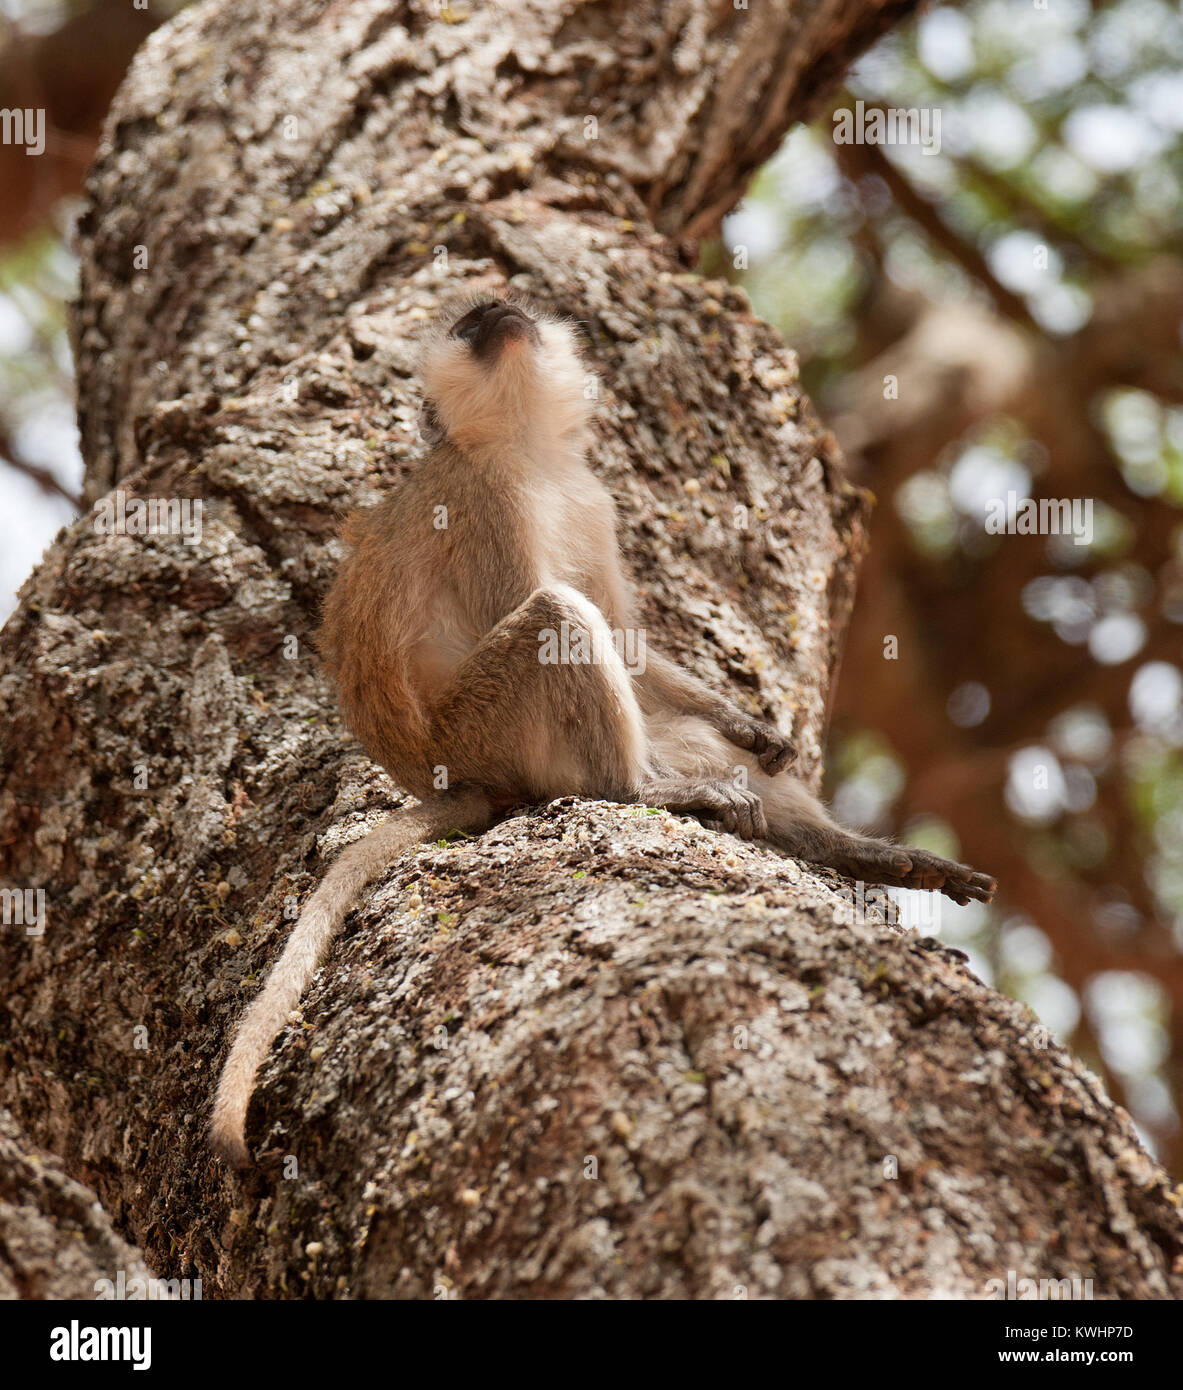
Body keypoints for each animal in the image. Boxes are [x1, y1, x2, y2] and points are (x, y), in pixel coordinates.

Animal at [210, 295, 996, 1166]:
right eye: (472, 325)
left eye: (502, 310)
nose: (499, 312)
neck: (529, 451)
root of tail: (450, 773)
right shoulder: (484, 501)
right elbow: (556, 614)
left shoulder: (592, 498)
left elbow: (633, 643)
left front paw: (747, 721)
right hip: (483, 727)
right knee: (558, 620)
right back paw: (649, 789)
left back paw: (856, 853)